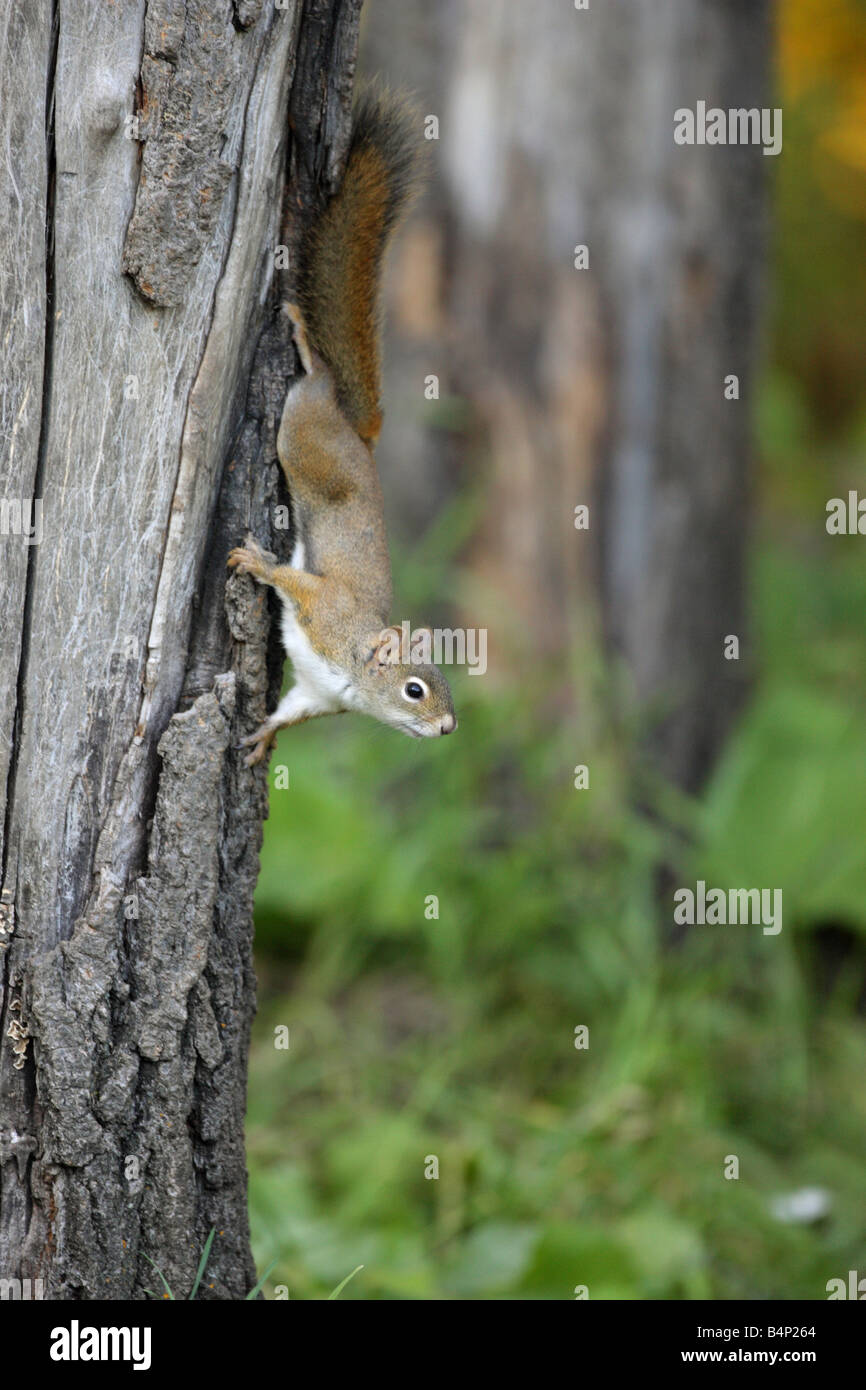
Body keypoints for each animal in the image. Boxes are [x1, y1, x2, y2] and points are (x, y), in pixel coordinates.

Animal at [228, 88, 457, 766]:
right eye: (414, 690)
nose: (448, 728)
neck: (355, 666)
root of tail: (358, 432)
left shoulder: (316, 694)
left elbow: (289, 711)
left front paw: (263, 738)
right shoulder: (323, 610)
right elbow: (290, 580)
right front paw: (254, 562)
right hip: (301, 432)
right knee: (316, 381)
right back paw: (306, 345)